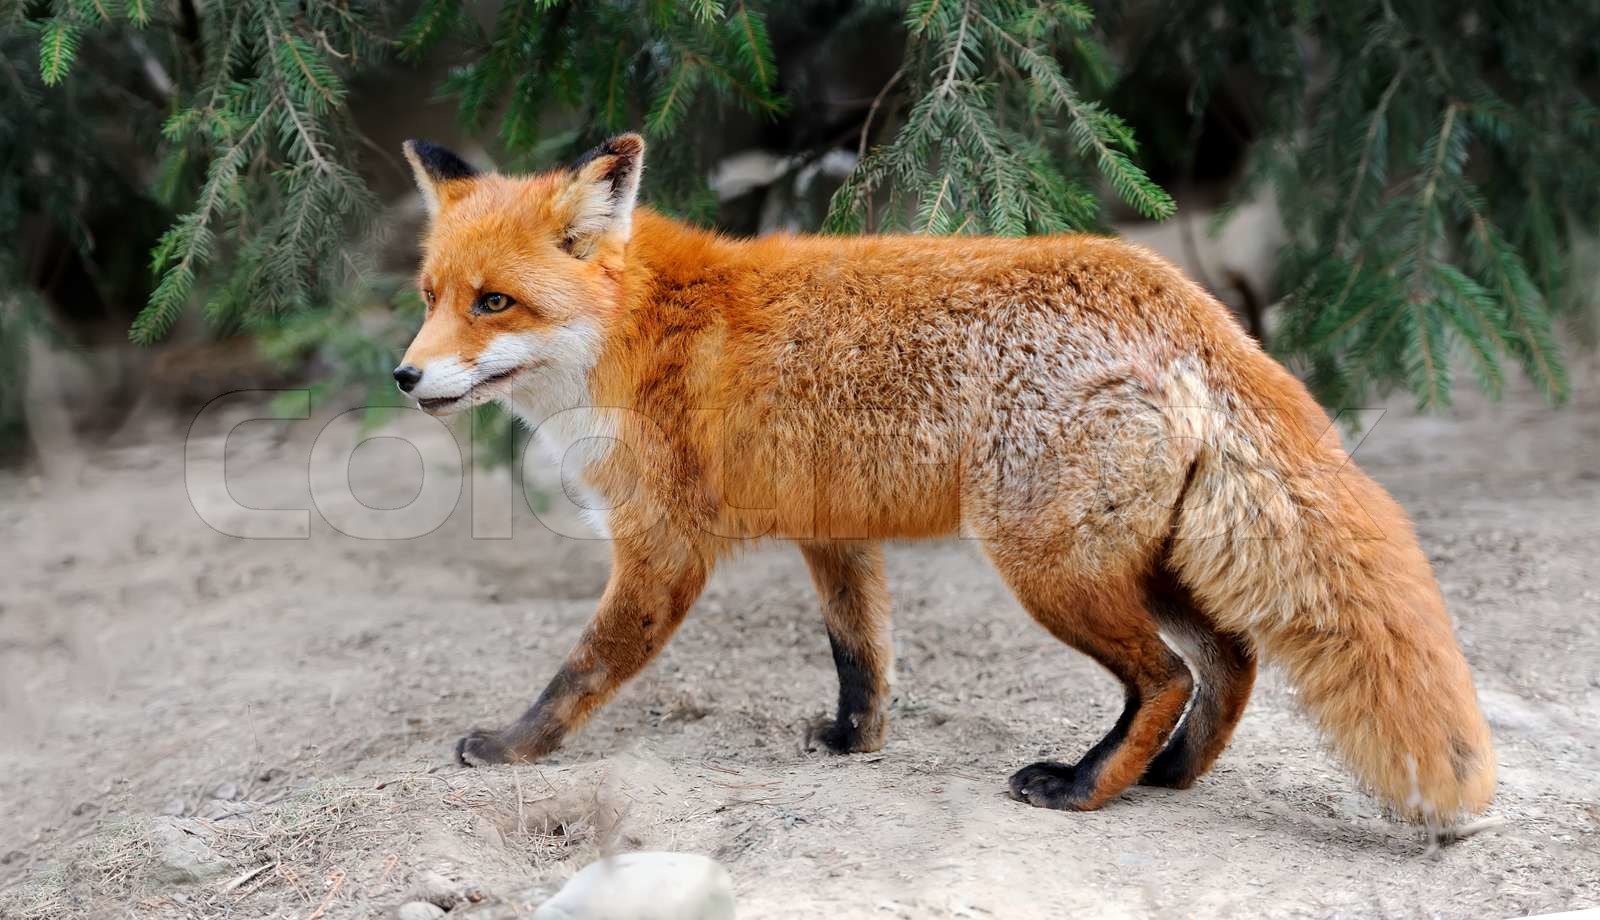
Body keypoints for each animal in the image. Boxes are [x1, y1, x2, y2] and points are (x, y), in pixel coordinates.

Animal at [394, 132, 1495, 829]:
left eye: (494, 303)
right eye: (430, 297)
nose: (402, 375)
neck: (640, 333)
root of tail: (1177, 296)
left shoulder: (661, 550)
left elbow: (579, 669)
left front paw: (509, 748)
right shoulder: (832, 528)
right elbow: (861, 655)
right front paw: (856, 743)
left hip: (1050, 565)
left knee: (1169, 674)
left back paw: (1085, 788)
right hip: (1145, 559)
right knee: (1230, 657)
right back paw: (1171, 773)